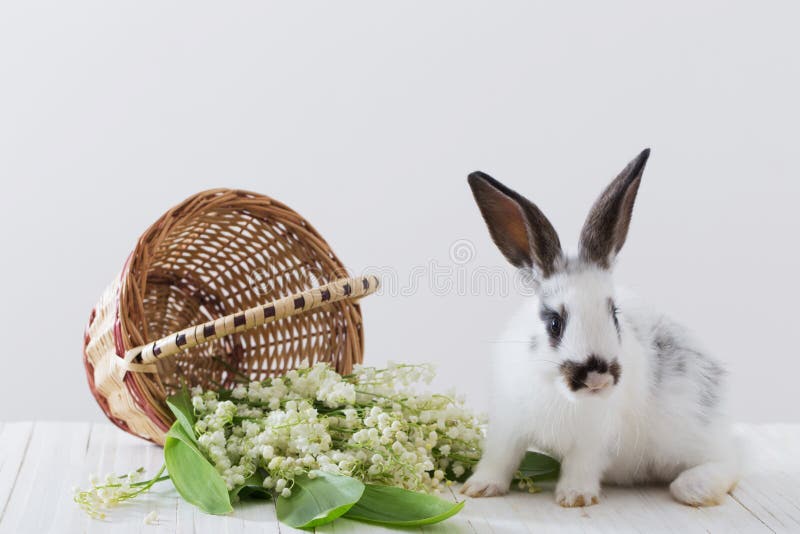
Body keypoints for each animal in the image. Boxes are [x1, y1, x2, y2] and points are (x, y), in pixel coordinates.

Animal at [460, 148, 740, 508]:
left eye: (614, 315)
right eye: (555, 323)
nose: (597, 377)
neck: (559, 392)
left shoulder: (594, 437)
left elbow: (582, 464)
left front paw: (575, 497)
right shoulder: (508, 424)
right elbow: (499, 458)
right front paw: (480, 488)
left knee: (729, 462)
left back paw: (695, 488)